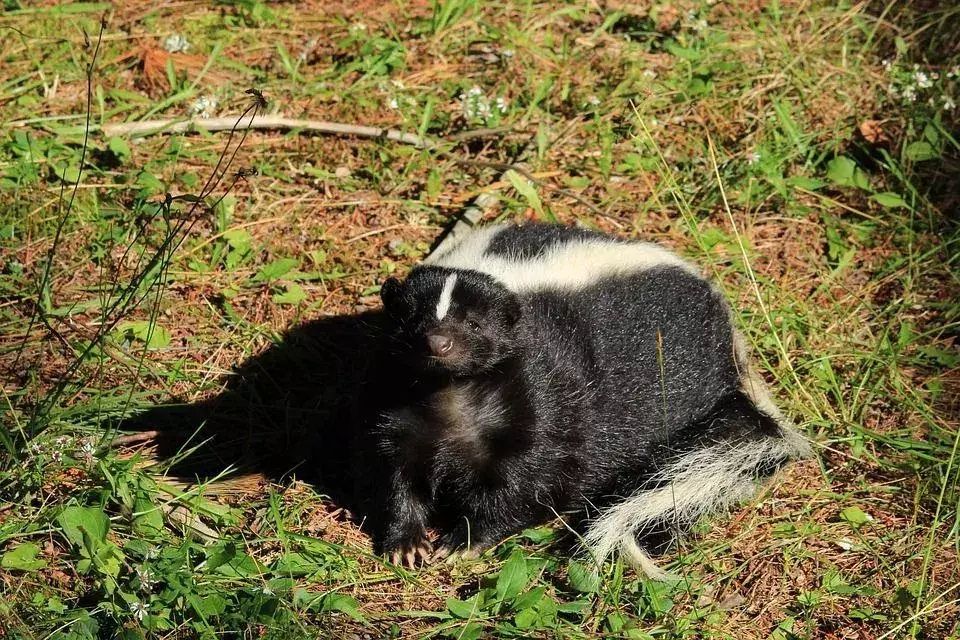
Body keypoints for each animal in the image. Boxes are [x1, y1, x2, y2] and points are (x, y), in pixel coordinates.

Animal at [372, 221, 808, 576]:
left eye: (476, 326)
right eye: (413, 320)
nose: (439, 343)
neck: (453, 394)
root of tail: (732, 336)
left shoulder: (548, 395)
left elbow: (531, 477)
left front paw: (462, 541)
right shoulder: (402, 408)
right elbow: (400, 472)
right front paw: (407, 543)